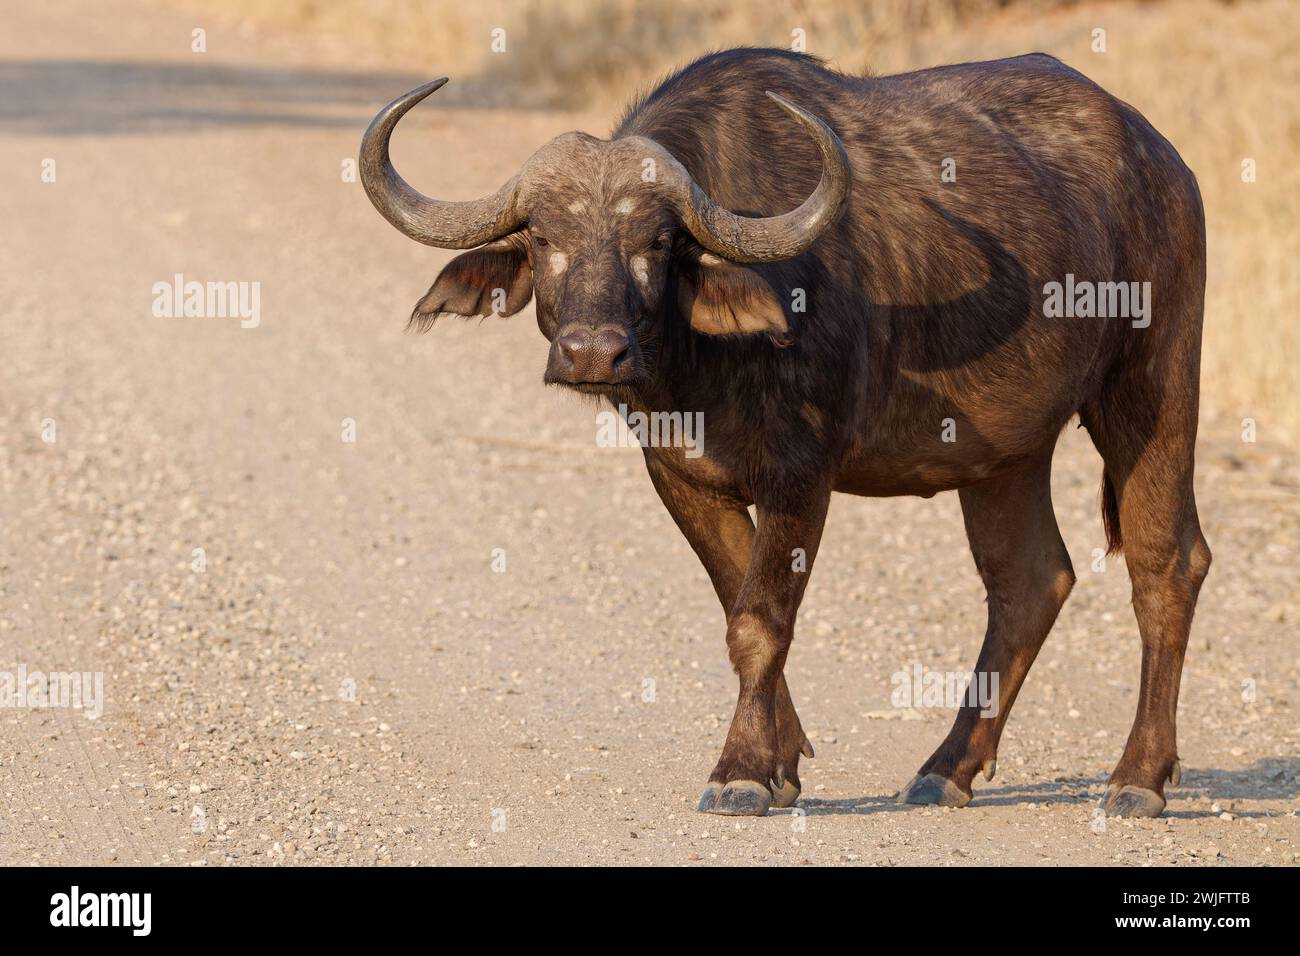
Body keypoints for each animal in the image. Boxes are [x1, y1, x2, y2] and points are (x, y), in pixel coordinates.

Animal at [359, 48, 1210, 819]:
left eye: (657, 243)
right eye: (541, 237)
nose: (592, 352)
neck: (702, 365)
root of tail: (1165, 164)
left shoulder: (803, 477)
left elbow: (761, 622)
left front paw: (739, 772)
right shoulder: (679, 474)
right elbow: (736, 599)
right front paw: (779, 760)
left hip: (1152, 392)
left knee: (1166, 564)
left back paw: (1138, 779)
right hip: (1006, 455)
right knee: (1031, 581)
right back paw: (946, 770)